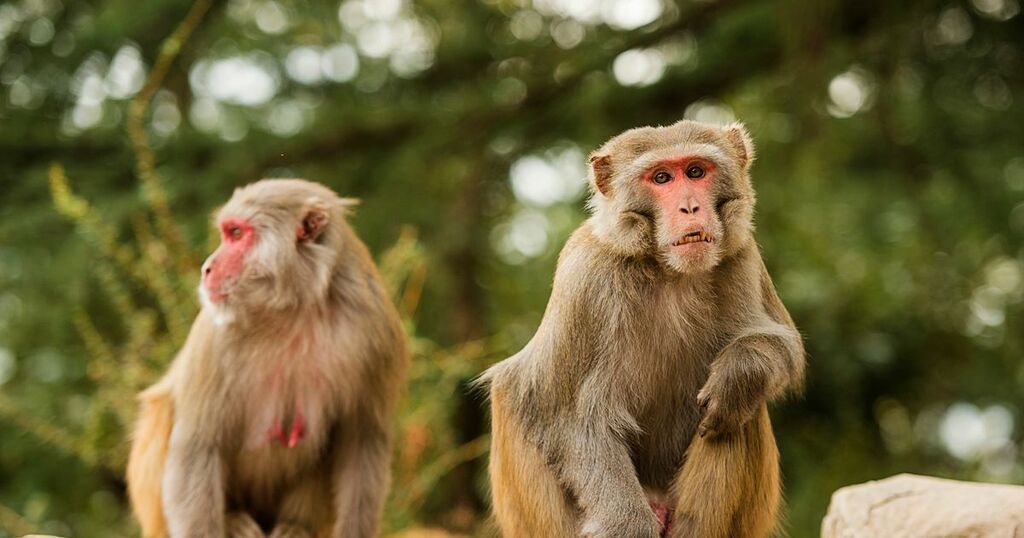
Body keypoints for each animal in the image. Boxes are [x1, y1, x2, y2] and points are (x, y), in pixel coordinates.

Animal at [126, 179, 408, 538]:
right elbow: (197, 446)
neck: (295, 310)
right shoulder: (215, 335)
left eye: (236, 234)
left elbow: (363, 444)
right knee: (163, 409)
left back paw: (296, 526)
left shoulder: (376, 329)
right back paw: (232, 520)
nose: (207, 268)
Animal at [480, 120, 805, 538]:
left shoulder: (741, 254)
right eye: (662, 178)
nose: (690, 207)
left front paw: (742, 370)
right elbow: (567, 415)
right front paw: (628, 525)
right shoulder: (587, 275)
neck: (666, 270)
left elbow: (786, 346)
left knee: (737, 412)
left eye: (696, 172)